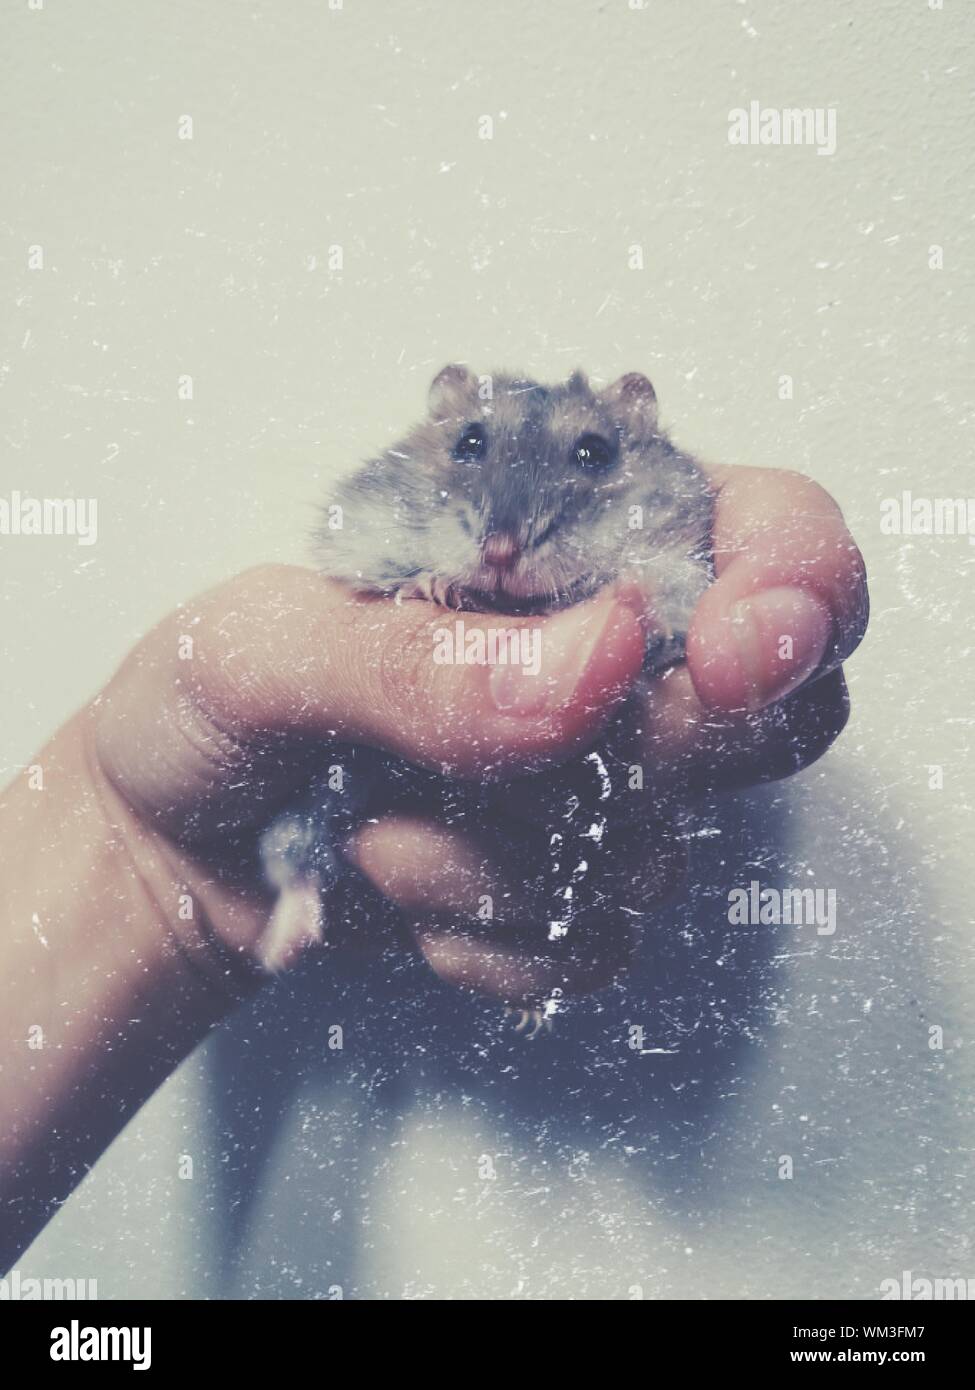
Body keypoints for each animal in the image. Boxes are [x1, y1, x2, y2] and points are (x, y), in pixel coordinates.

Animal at [257, 366, 715, 1003]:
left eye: (595, 452)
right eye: (469, 442)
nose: (499, 551)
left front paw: (625, 598)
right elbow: (391, 577)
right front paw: (435, 587)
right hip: (327, 781)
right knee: (293, 855)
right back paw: (279, 950)